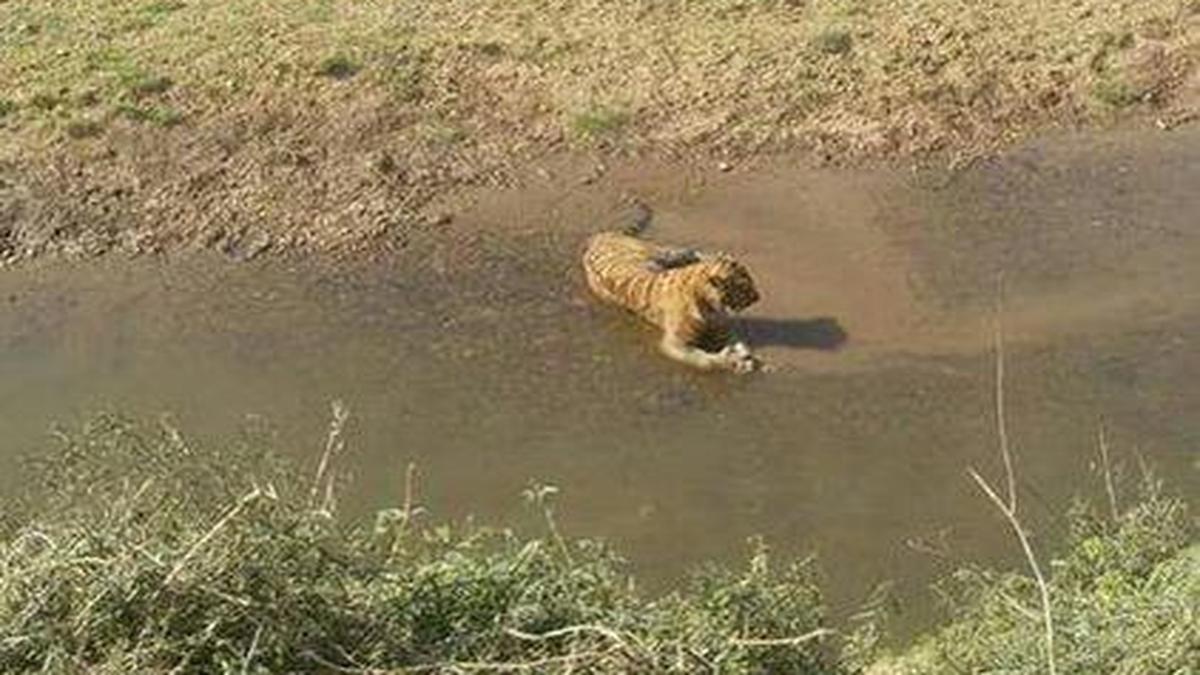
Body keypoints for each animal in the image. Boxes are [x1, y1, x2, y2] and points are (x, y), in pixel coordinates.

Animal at [582, 201, 761, 373]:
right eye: (744, 288)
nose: (758, 297)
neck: (709, 304)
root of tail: (599, 236)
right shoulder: (674, 344)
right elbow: (703, 360)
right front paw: (730, 361)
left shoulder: (722, 330)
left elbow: (737, 341)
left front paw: (744, 354)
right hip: (661, 252)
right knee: (689, 251)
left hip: (664, 255)